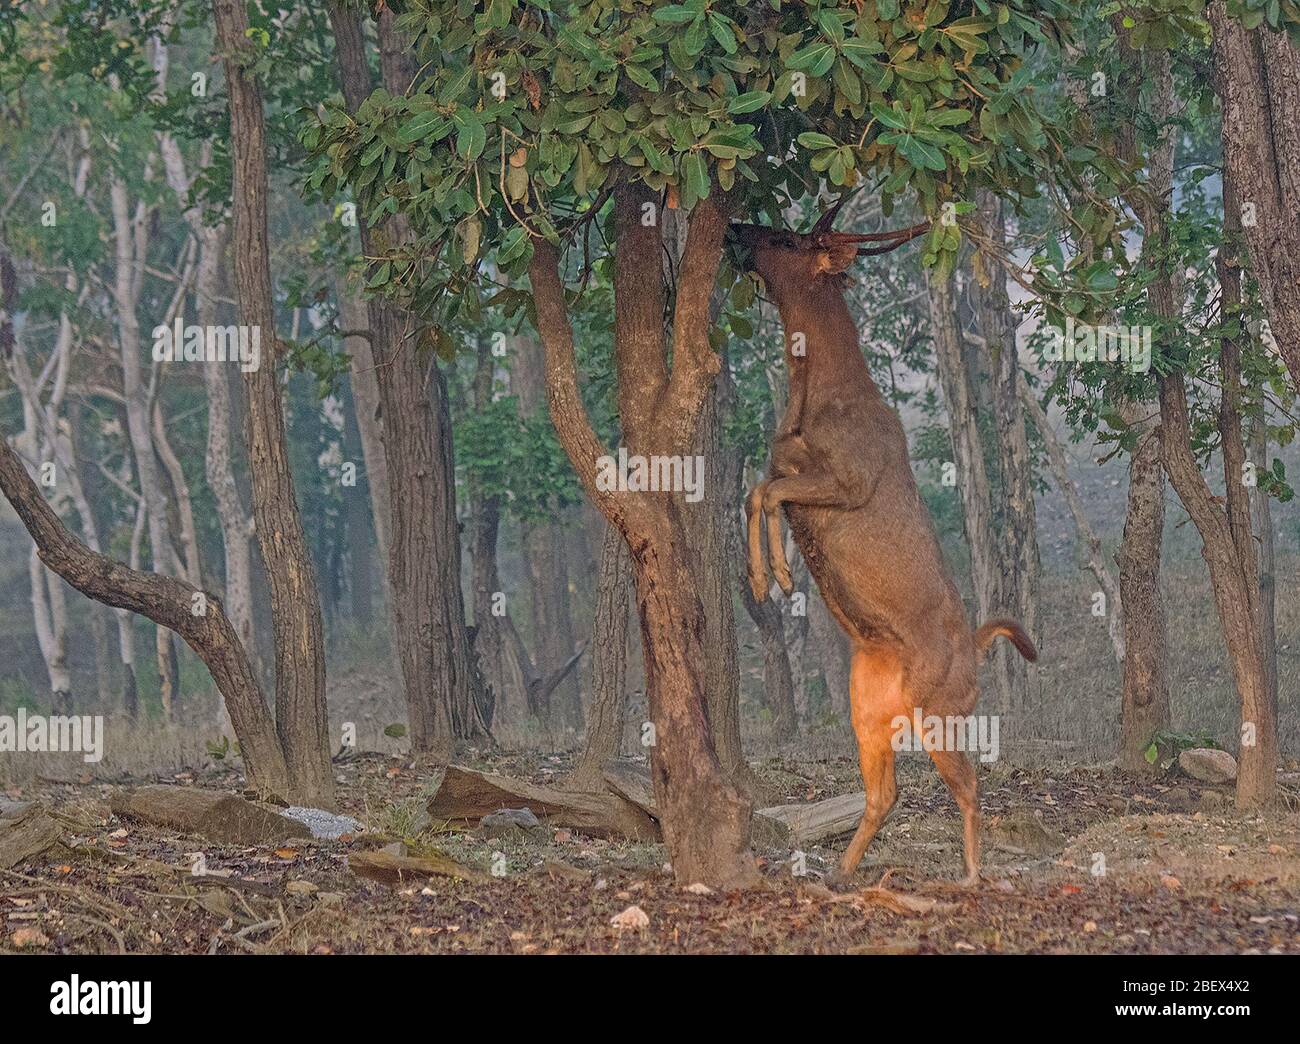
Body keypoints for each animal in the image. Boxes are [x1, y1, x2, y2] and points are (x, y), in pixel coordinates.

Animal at [730, 203, 1037, 887]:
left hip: (940, 707)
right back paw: (841, 871)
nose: (739, 229)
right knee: (884, 792)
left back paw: (970, 875)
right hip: (867, 708)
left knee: (970, 787)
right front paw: (767, 577)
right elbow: (758, 490)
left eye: (790, 239)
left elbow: (764, 495)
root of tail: (977, 646)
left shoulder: (848, 480)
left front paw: (776, 578)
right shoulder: (785, 467)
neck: (811, 401)